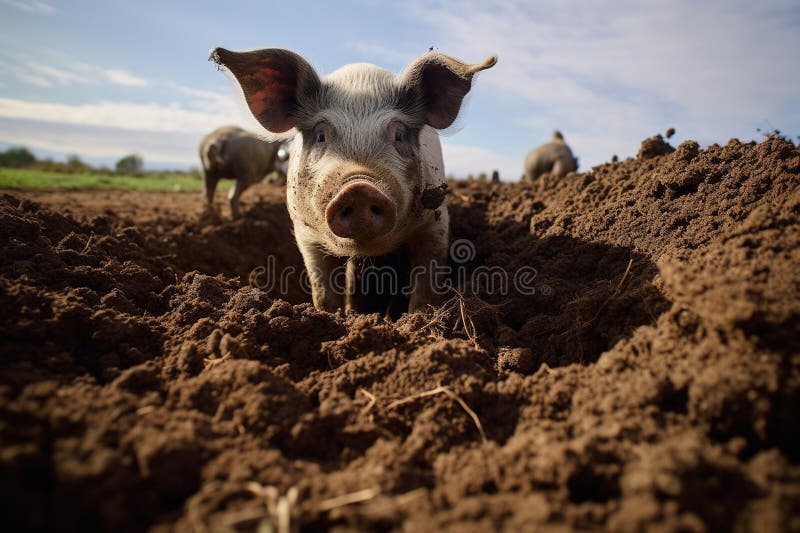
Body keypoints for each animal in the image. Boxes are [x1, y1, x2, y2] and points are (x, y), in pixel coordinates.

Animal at [210, 47, 496, 313]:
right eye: (321, 135)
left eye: (399, 134)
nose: (359, 188)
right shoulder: (304, 231)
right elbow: (322, 286)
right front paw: (331, 315)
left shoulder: (436, 221)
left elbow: (427, 281)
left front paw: (418, 318)